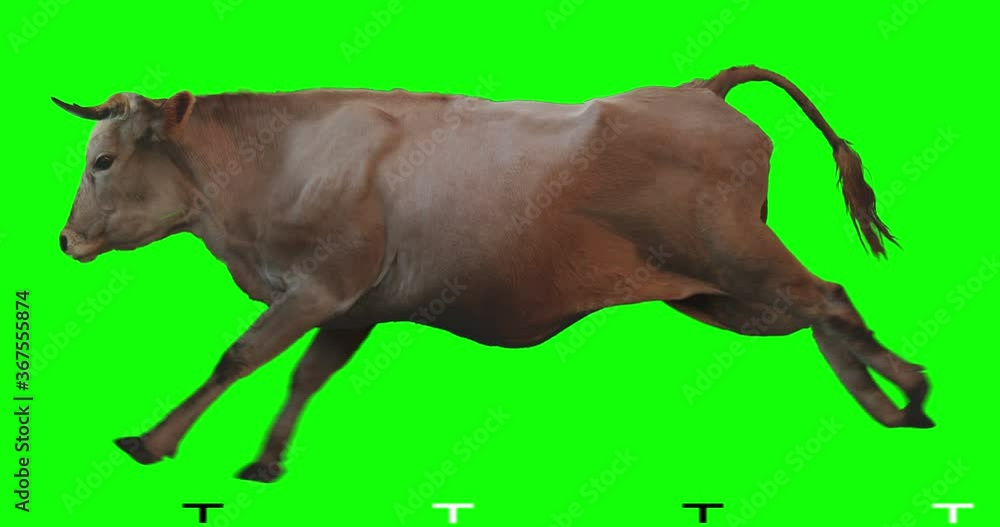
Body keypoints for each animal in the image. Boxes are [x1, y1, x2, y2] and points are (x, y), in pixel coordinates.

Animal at [53, 65, 932, 482]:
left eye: (103, 161)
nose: (64, 240)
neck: (275, 160)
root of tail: (699, 89)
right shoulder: (353, 304)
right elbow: (307, 374)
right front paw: (267, 459)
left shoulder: (321, 285)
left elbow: (237, 355)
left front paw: (152, 439)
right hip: (718, 292)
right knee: (822, 307)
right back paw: (888, 402)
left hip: (735, 259)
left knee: (827, 295)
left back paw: (907, 390)